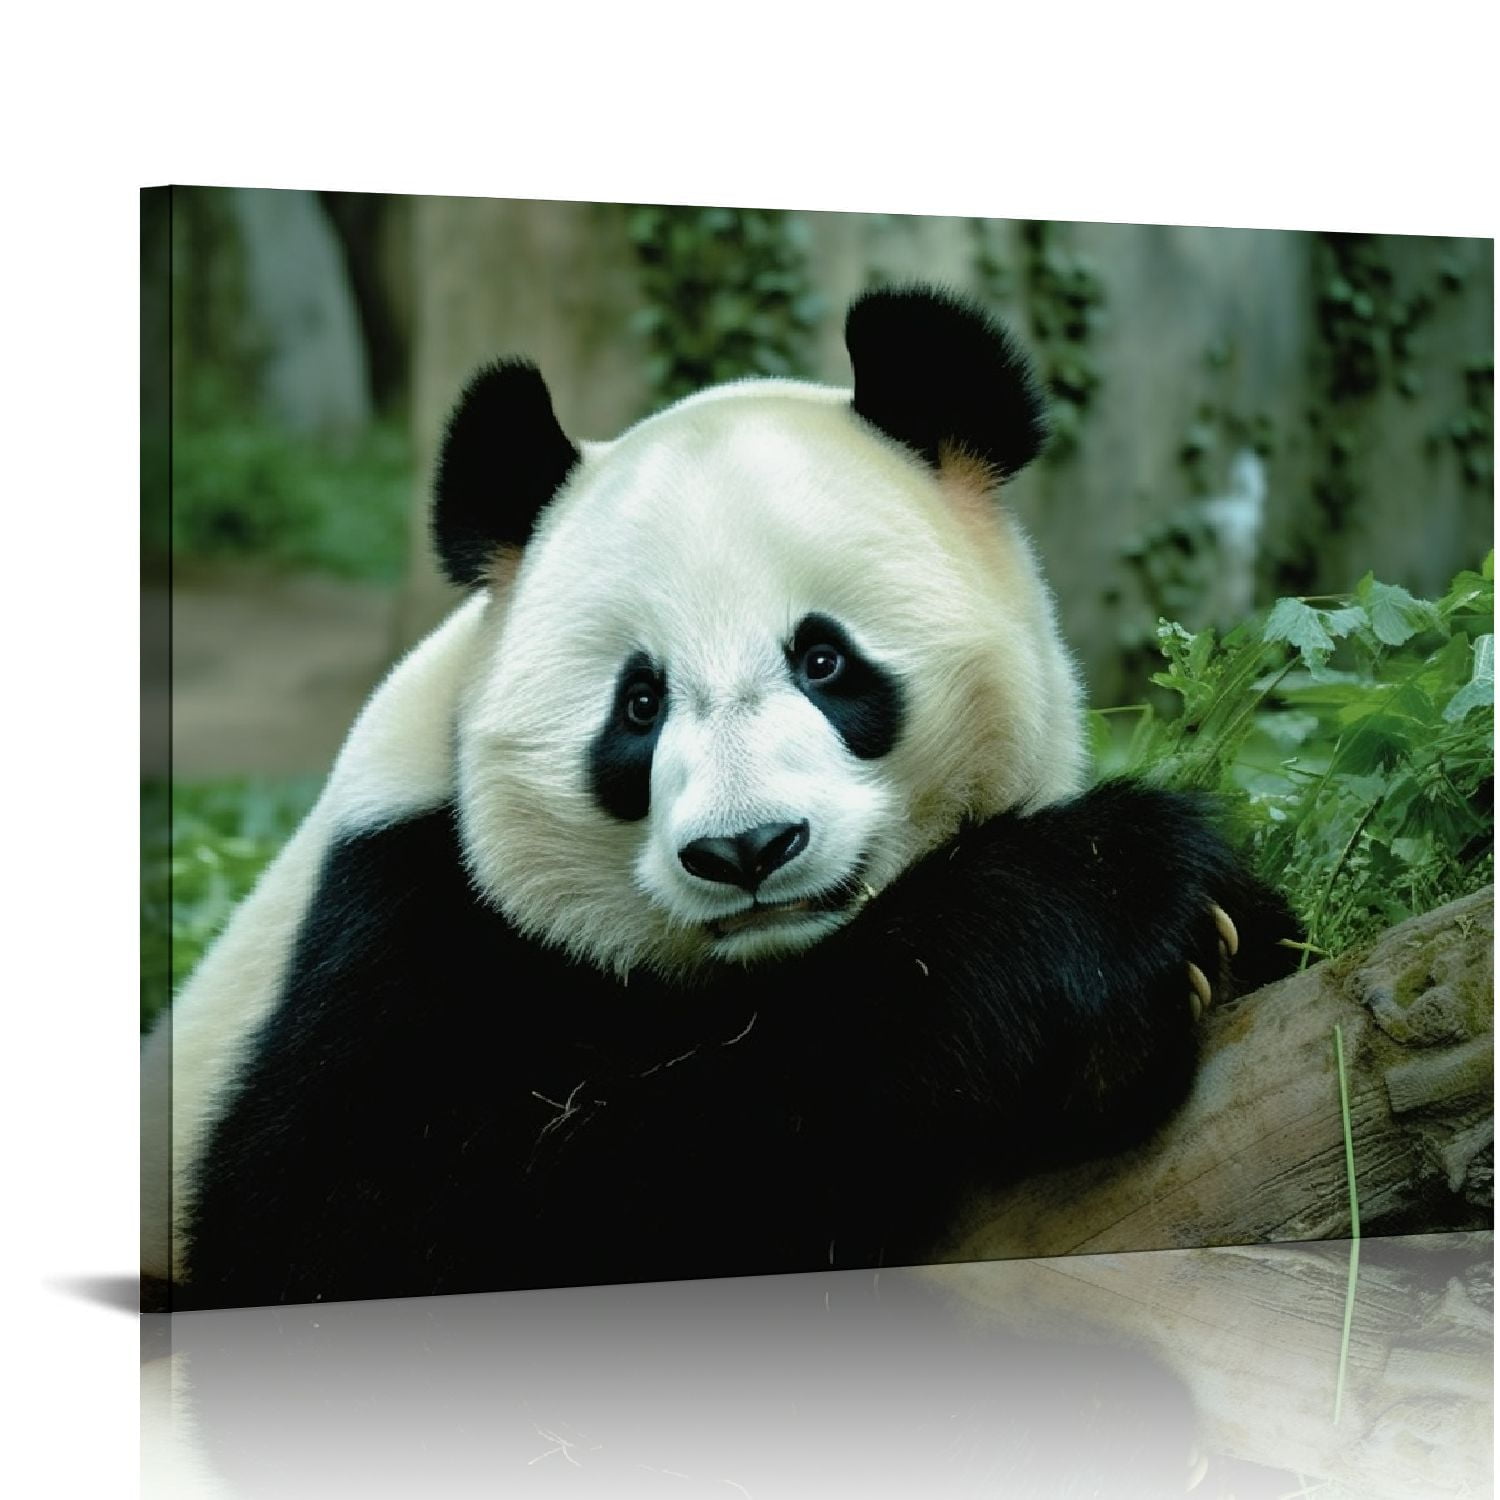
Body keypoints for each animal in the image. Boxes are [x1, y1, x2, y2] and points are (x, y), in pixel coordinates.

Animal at [142, 285, 1297, 1309]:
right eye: (638, 703)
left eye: (824, 661)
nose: (748, 849)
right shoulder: (397, 922)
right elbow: (391, 1221)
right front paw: (1108, 917)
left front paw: (1200, 953)